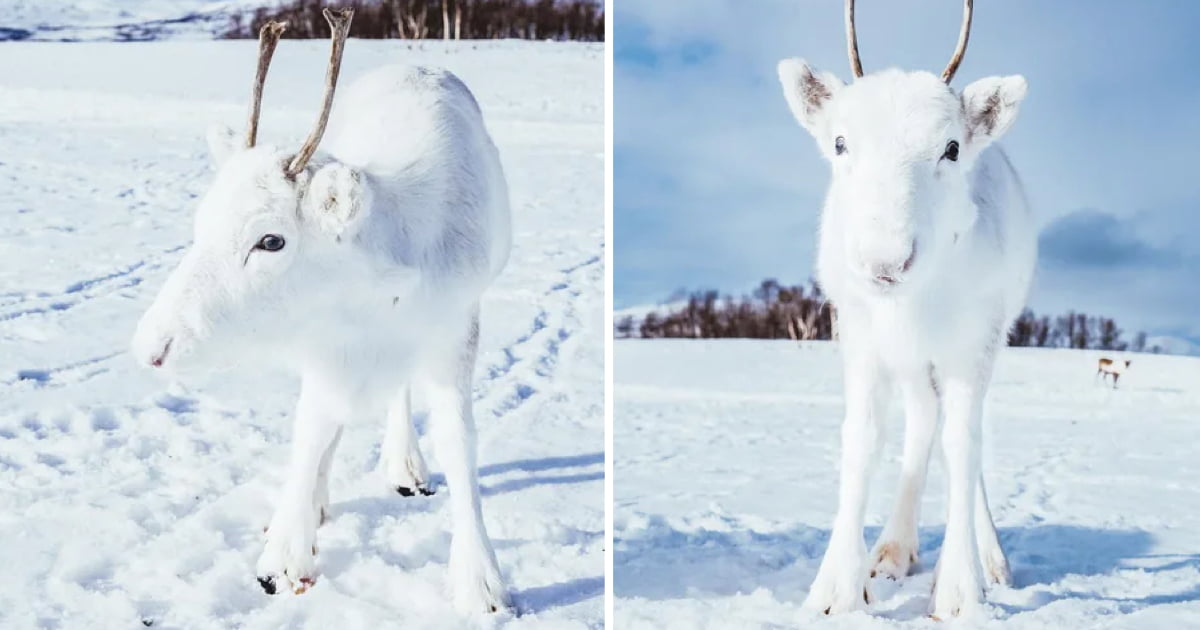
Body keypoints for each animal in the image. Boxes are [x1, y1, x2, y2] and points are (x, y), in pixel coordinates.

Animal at [130, 9, 513, 614]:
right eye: (201, 222)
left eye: (271, 240)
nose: (153, 348)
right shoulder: (324, 344)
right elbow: (312, 430)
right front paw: (286, 554)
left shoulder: (455, 329)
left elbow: (458, 442)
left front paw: (480, 583)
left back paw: (405, 466)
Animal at [776, 0, 1035, 619]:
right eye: (840, 143)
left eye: (952, 148)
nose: (885, 261)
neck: (913, 305)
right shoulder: (859, 334)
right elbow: (863, 438)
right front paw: (835, 591)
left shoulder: (975, 341)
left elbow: (964, 446)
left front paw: (961, 590)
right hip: (914, 365)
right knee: (922, 421)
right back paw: (893, 549)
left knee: (960, 436)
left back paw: (989, 559)